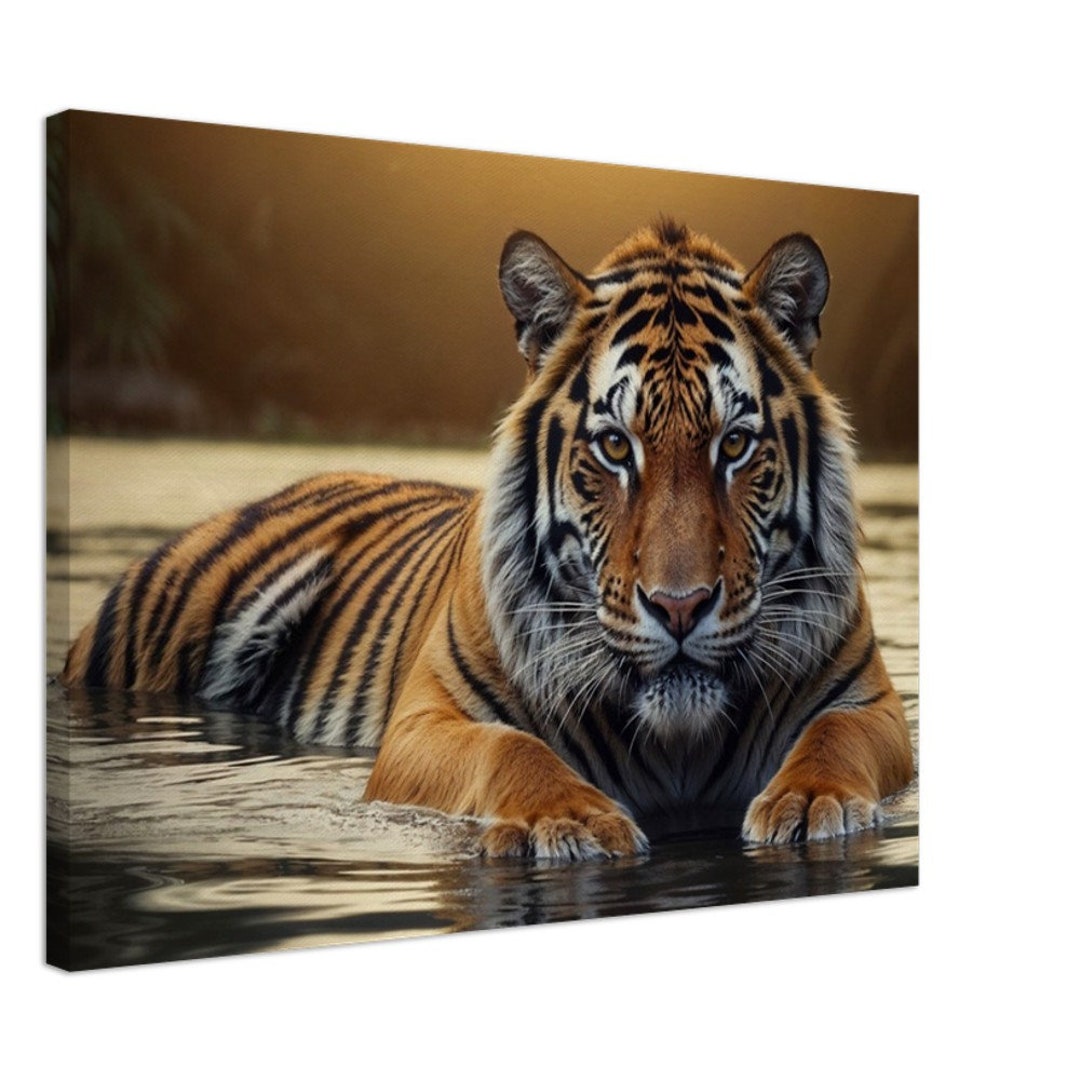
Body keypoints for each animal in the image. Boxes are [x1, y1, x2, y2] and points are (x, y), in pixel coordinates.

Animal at [63, 219, 915, 861]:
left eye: (734, 445)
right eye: (615, 447)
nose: (680, 607)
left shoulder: (868, 701)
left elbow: (835, 735)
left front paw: (809, 804)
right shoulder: (424, 725)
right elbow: (508, 748)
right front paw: (568, 820)